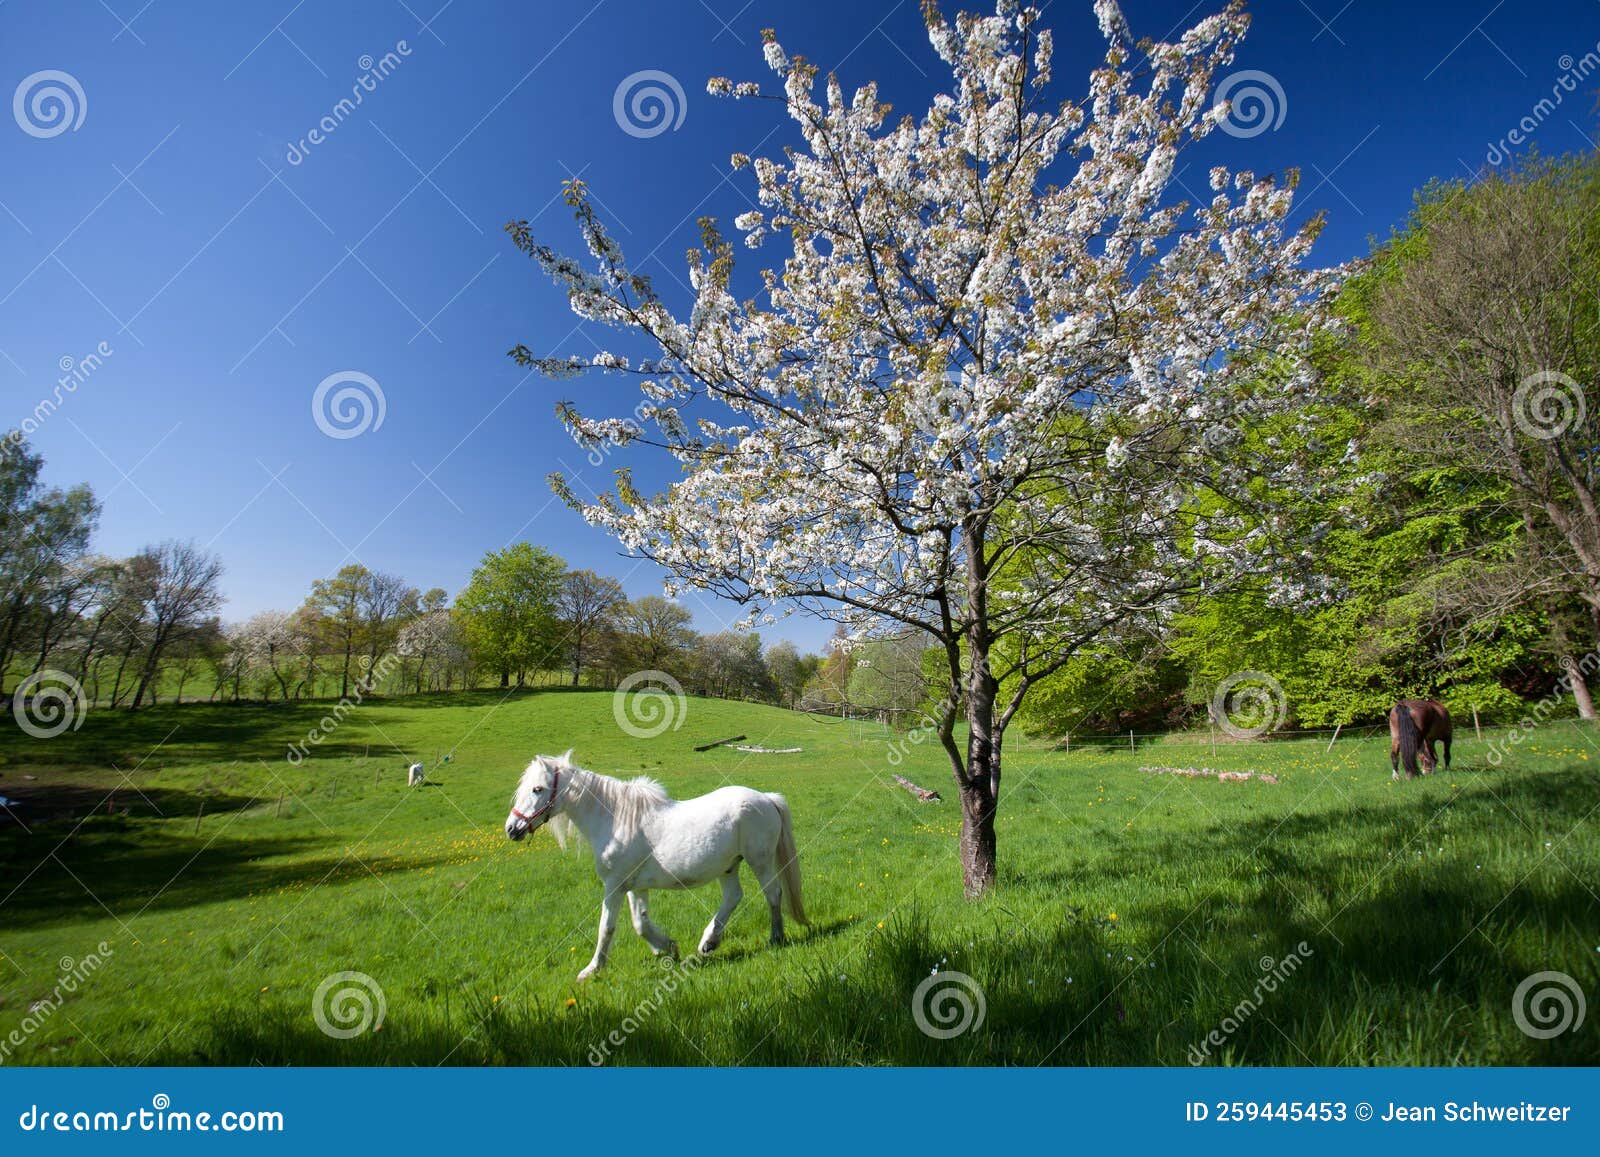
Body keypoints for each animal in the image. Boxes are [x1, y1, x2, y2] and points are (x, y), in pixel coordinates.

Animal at [503, 751, 808, 980]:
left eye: (538, 789)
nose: (511, 828)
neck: (615, 820)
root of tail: (766, 798)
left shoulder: (614, 886)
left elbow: (606, 927)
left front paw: (591, 970)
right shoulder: (634, 887)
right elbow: (641, 923)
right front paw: (668, 948)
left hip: (760, 860)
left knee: (773, 894)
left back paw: (775, 938)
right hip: (729, 867)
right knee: (733, 897)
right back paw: (708, 942)